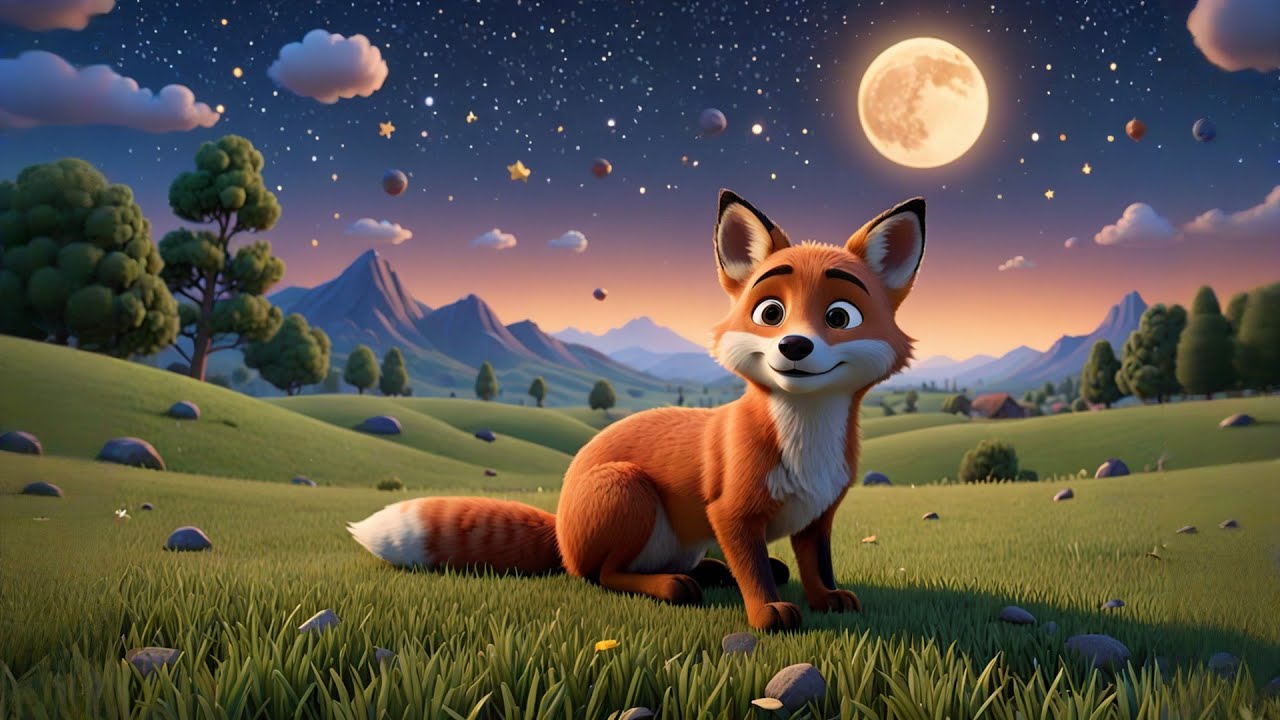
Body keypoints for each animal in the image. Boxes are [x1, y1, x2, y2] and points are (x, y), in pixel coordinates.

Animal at [347, 189, 926, 631]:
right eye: (770, 312)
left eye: (840, 316)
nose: (795, 346)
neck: (805, 439)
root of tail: (561, 530)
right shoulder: (730, 513)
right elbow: (755, 572)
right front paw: (767, 614)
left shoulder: (818, 515)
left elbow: (815, 566)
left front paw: (826, 599)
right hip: (628, 492)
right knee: (605, 575)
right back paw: (673, 585)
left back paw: (712, 573)